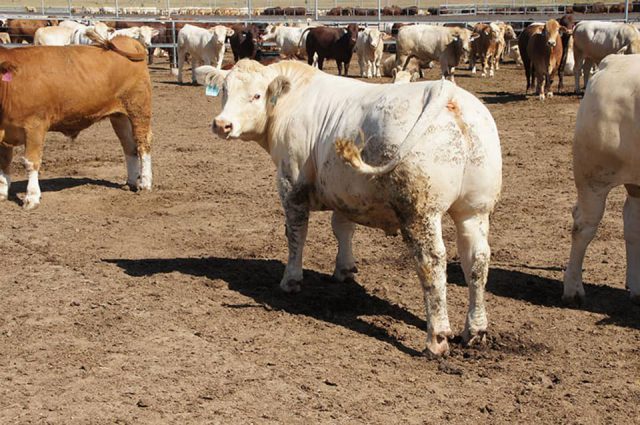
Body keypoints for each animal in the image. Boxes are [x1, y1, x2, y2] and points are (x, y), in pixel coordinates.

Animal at [0, 36, 152, 210]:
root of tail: (126, 39)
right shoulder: (4, 134)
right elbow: (4, 163)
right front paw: (2, 194)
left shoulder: (35, 127)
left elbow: (31, 162)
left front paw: (31, 198)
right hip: (119, 116)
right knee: (129, 146)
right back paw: (131, 182)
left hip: (139, 109)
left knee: (143, 144)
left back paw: (145, 183)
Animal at [203, 59, 502, 358]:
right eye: (224, 91)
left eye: (256, 95)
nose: (222, 124)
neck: (293, 99)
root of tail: (448, 94)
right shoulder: (344, 191)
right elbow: (343, 228)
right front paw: (344, 269)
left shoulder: (291, 185)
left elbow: (296, 235)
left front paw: (291, 280)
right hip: (474, 210)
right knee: (477, 259)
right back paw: (475, 330)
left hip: (420, 213)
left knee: (432, 262)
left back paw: (436, 338)